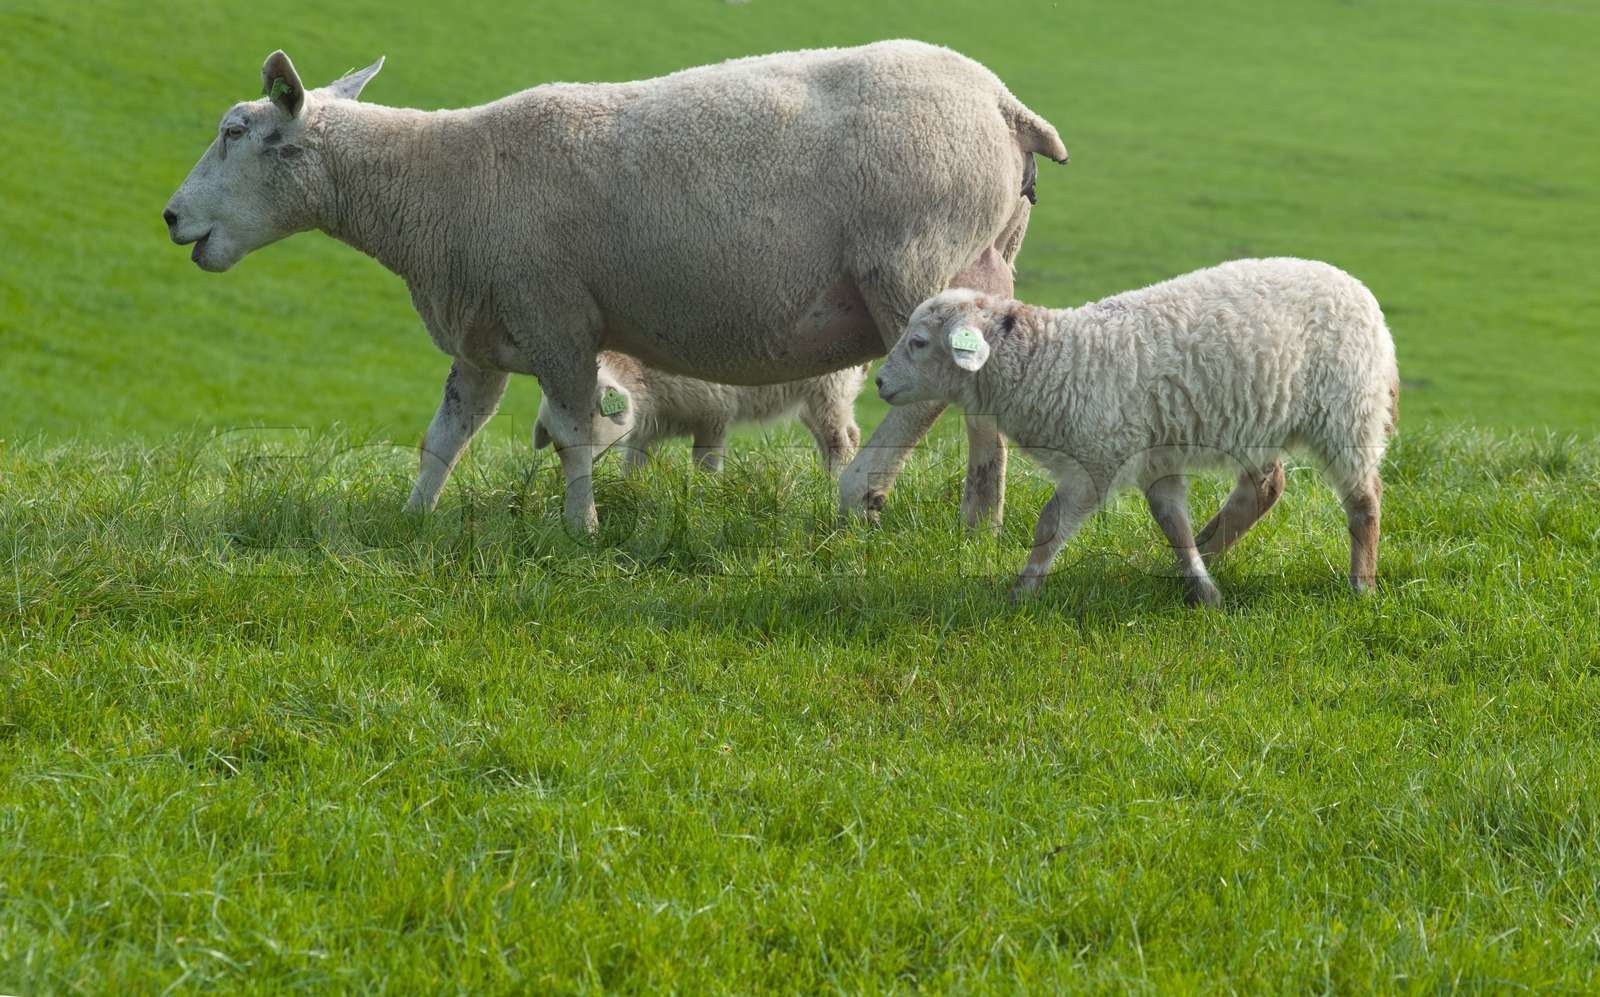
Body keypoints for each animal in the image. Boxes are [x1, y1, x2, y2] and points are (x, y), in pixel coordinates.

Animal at [533, 352, 867, 475]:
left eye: (589, 415)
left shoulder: (714, 413)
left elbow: (706, 462)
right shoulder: (644, 430)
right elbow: (634, 467)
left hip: (830, 387)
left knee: (840, 441)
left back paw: (835, 480)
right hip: (816, 398)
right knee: (842, 436)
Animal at [874, 258, 1400, 606]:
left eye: (918, 342)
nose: (879, 382)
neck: (1051, 363)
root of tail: (1360, 291)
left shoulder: (1096, 459)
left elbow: (1049, 525)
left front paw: (1023, 590)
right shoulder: (1154, 455)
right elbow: (1172, 522)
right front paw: (1201, 585)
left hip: (1347, 412)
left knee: (1364, 499)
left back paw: (1362, 585)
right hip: (1264, 420)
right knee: (1266, 486)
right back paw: (1211, 546)